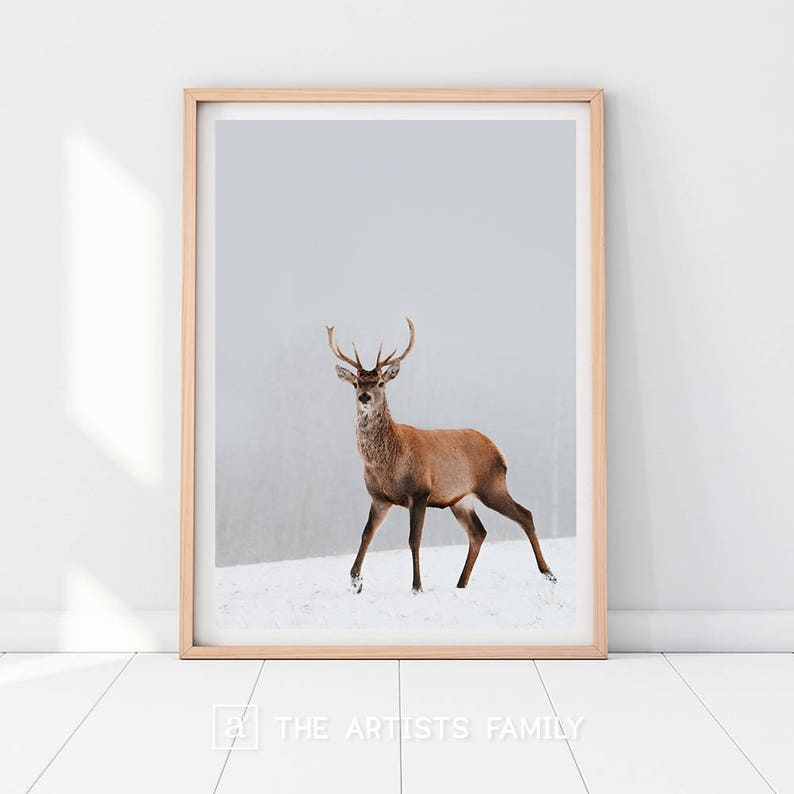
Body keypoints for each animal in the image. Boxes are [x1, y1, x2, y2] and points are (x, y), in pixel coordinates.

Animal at [326, 316, 556, 594]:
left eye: (381, 382)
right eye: (356, 383)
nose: (364, 397)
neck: (387, 465)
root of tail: (499, 450)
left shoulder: (419, 491)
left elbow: (414, 539)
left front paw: (416, 586)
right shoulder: (379, 497)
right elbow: (366, 535)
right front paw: (355, 580)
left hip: (492, 485)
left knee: (525, 515)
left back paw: (548, 573)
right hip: (461, 499)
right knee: (478, 532)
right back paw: (461, 583)